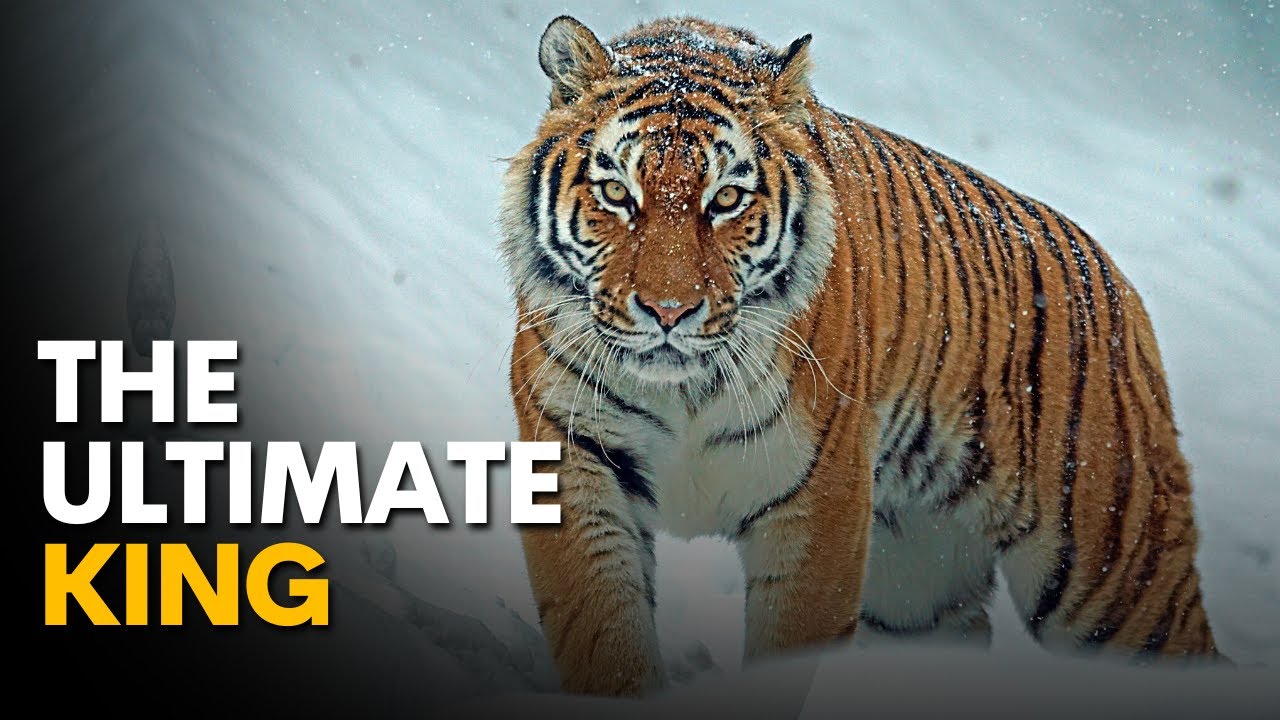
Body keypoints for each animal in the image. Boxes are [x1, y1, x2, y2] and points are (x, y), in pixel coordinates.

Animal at [498, 15, 1222, 696]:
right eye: (617, 193)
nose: (669, 311)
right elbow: (603, 634)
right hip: (917, 590)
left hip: (1114, 575)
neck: (684, 391)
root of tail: (1116, 280)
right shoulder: (576, 463)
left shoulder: (821, 503)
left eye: (726, 199)